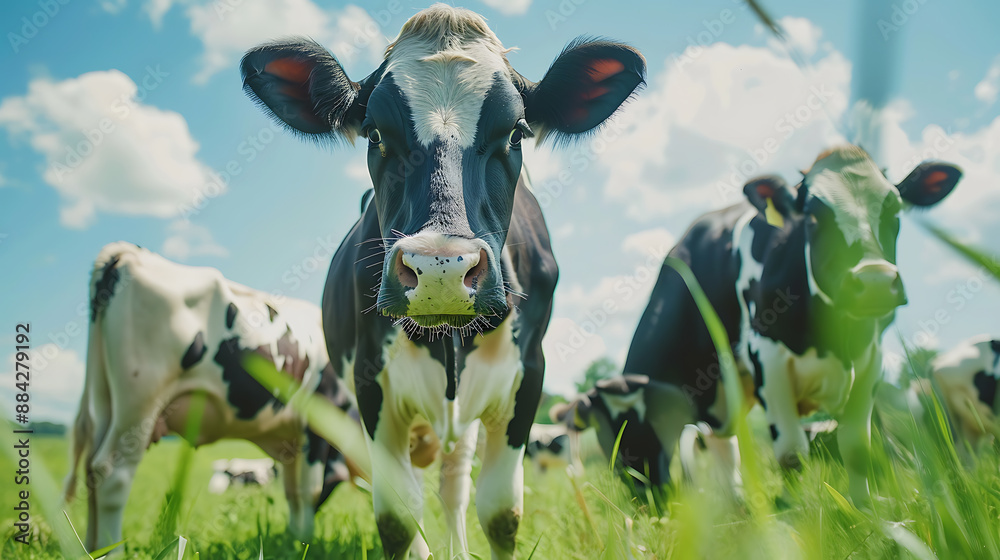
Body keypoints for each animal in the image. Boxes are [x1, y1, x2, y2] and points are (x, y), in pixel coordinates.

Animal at [64, 242, 358, 550]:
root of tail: (131, 252)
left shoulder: (290, 438)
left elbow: (293, 493)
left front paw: (295, 541)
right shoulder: (319, 419)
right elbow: (309, 489)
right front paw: (306, 541)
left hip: (104, 401)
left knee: (91, 469)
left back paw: (91, 549)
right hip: (139, 404)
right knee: (112, 474)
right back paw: (111, 551)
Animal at [239, 5, 645, 558]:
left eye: (517, 131)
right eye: (374, 133)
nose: (441, 270)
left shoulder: (529, 374)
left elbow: (499, 511)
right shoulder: (370, 380)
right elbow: (397, 516)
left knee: (454, 485)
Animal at [622, 146, 961, 504]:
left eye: (895, 210)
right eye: (812, 216)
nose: (875, 282)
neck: (833, 341)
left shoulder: (872, 356)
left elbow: (857, 447)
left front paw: (864, 508)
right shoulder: (765, 355)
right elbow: (790, 452)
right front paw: (800, 511)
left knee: (722, 446)